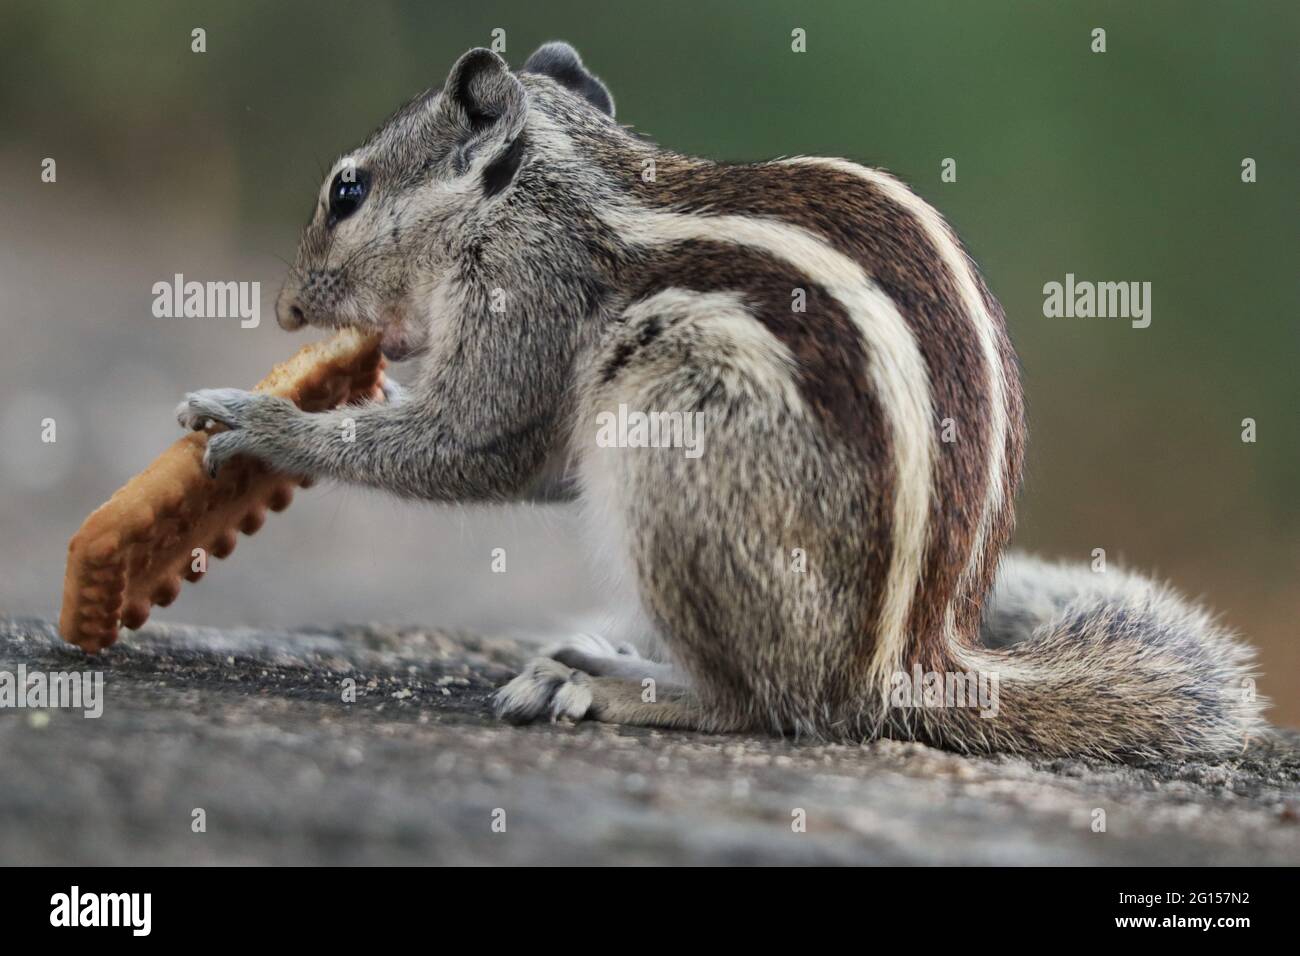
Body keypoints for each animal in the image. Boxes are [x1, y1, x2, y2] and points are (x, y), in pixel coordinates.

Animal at [177, 42, 1264, 761]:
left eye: (348, 192)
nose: (288, 306)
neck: (541, 194)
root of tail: (900, 668)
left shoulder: (525, 298)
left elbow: (470, 443)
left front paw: (259, 421)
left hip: (683, 448)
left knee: (764, 708)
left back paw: (605, 690)